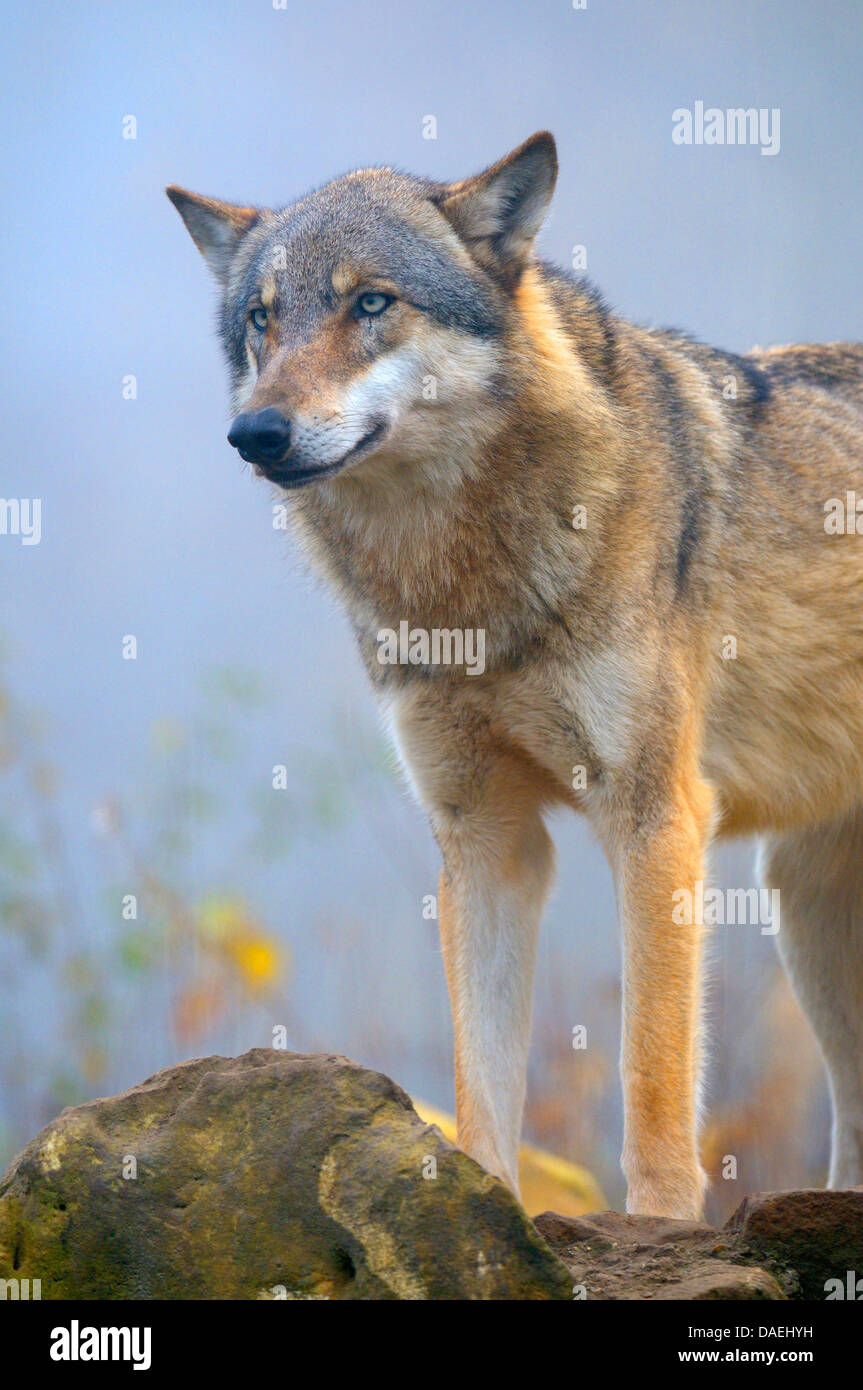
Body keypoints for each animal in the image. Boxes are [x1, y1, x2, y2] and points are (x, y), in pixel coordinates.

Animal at [168, 133, 863, 1219]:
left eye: (371, 303)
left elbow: (650, 1076)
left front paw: (656, 1225)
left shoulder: (654, 816)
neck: (465, 591)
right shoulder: (485, 834)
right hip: (804, 908)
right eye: (261, 319)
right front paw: (475, 1213)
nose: (256, 433)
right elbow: (482, 1083)